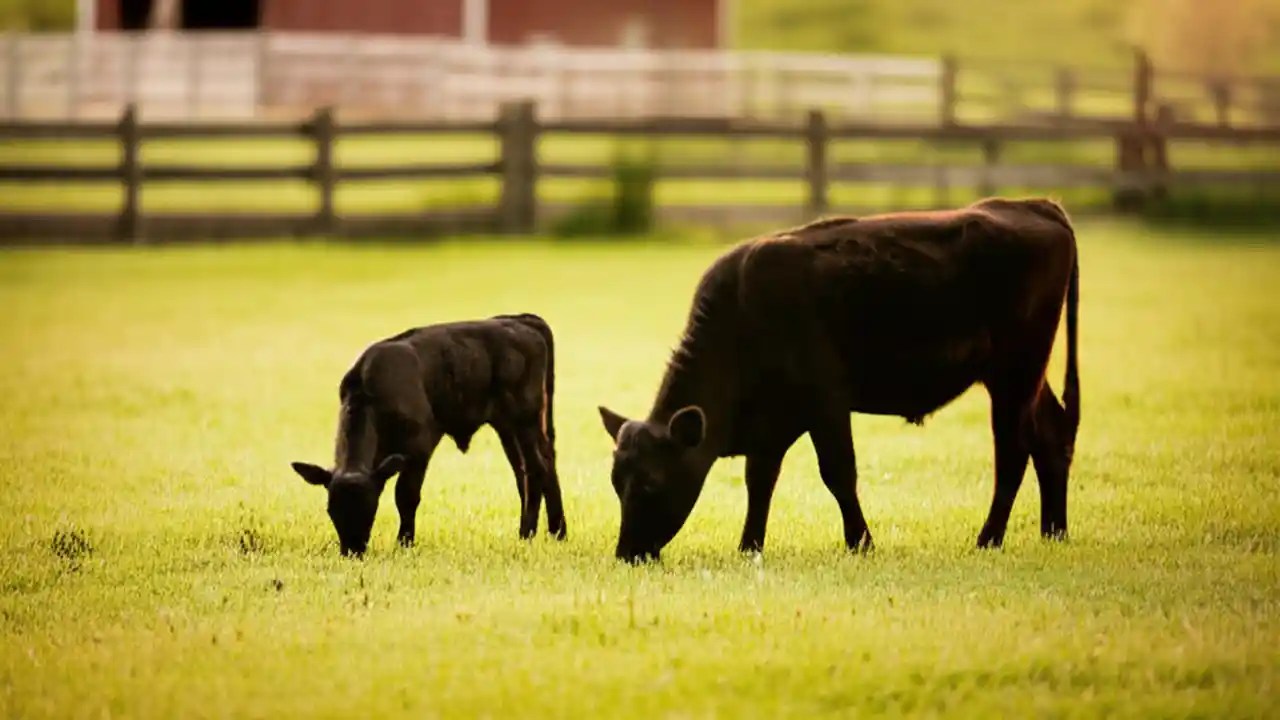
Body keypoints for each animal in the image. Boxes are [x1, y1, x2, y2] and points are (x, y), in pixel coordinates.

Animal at [291, 313, 565, 556]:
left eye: (369, 506)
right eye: (331, 510)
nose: (352, 551)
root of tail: (520, 321)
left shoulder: (420, 445)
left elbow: (405, 495)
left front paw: (404, 543)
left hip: (525, 419)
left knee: (535, 469)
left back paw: (528, 534)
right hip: (509, 426)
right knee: (531, 468)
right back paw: (556, 531)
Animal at [598, 197, 1080, 563]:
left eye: (651, 482)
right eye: (617, 482)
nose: (628, 553)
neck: (744, 312)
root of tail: (1035, 205)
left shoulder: (826, 401)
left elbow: (837, 472)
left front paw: (860, 542)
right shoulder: (774, 422)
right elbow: (760, 480)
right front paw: (750, 546)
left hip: (1014, 374)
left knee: (1013, 451)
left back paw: (989, 538)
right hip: (1024, 377)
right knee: (1050, 435)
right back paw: (1053, 531)